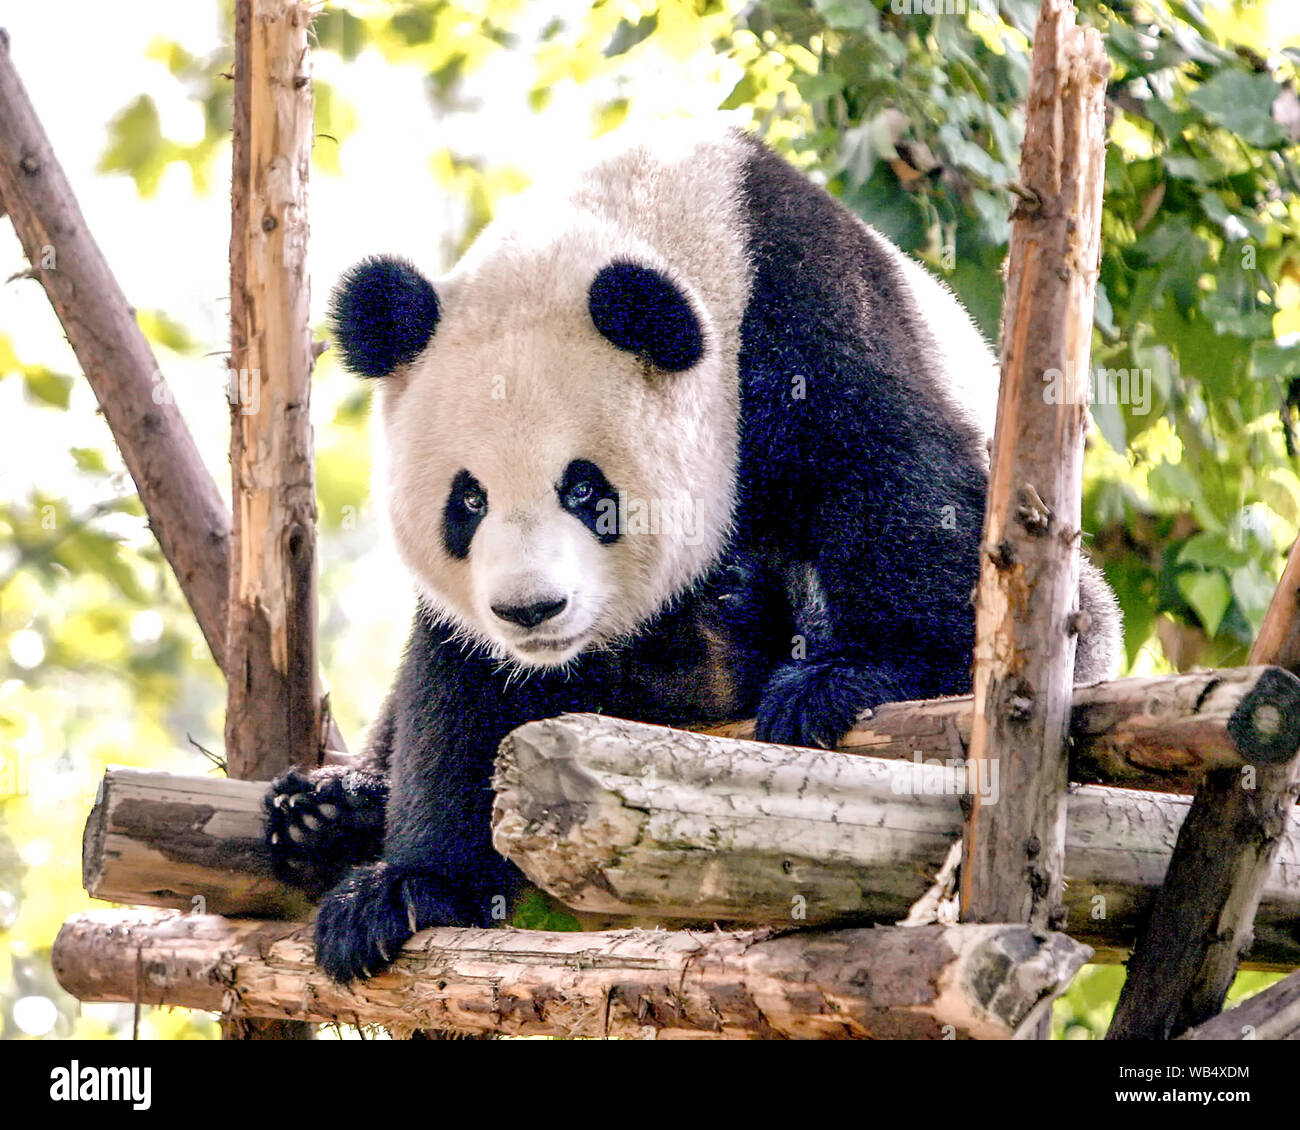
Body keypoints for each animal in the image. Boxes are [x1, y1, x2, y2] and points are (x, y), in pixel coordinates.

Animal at [267, 121, 1122, 984]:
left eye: (585, 489)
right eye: (467, 501)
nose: (532, 610)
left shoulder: (810, 309)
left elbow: (902, 487)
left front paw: (854, 676)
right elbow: (457, 683)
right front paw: (404, 892)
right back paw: (324, 812)